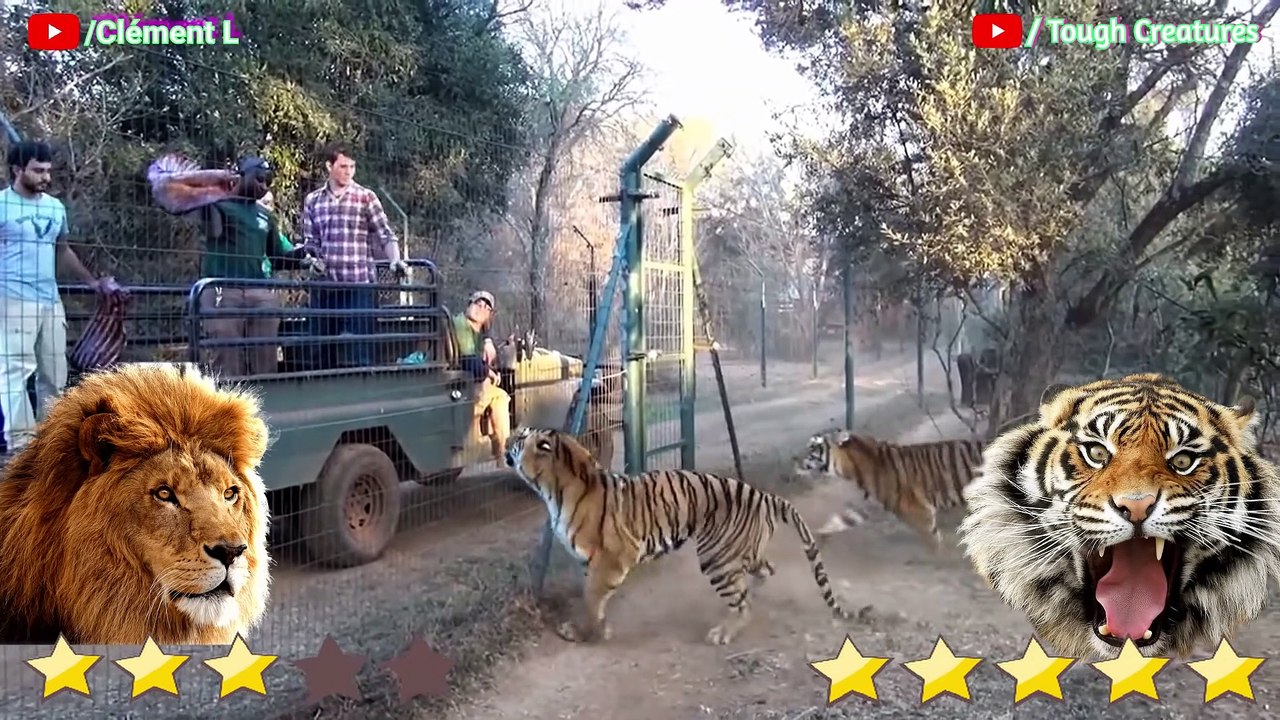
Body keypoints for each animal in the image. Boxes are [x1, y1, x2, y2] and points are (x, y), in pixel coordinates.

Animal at [504, 426, 855, 646]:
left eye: (521, 436)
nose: (507, 437)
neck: (552, 487)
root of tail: (763, 495)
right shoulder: (591, 562)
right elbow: (594, 597)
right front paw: (599, 628)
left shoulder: (615, 556)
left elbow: (592, 598)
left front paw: (584, 632)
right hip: (744, 554)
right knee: (763, 574)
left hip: (716, 559)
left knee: (742, 603)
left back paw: (723, 632)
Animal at [794, 431, 983, 551]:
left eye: (813, 448)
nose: (794, 460)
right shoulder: (866, 504)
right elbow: (842, 519)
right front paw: (819, 536)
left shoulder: (918, 512)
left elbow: (932, 540)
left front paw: (941, 558)